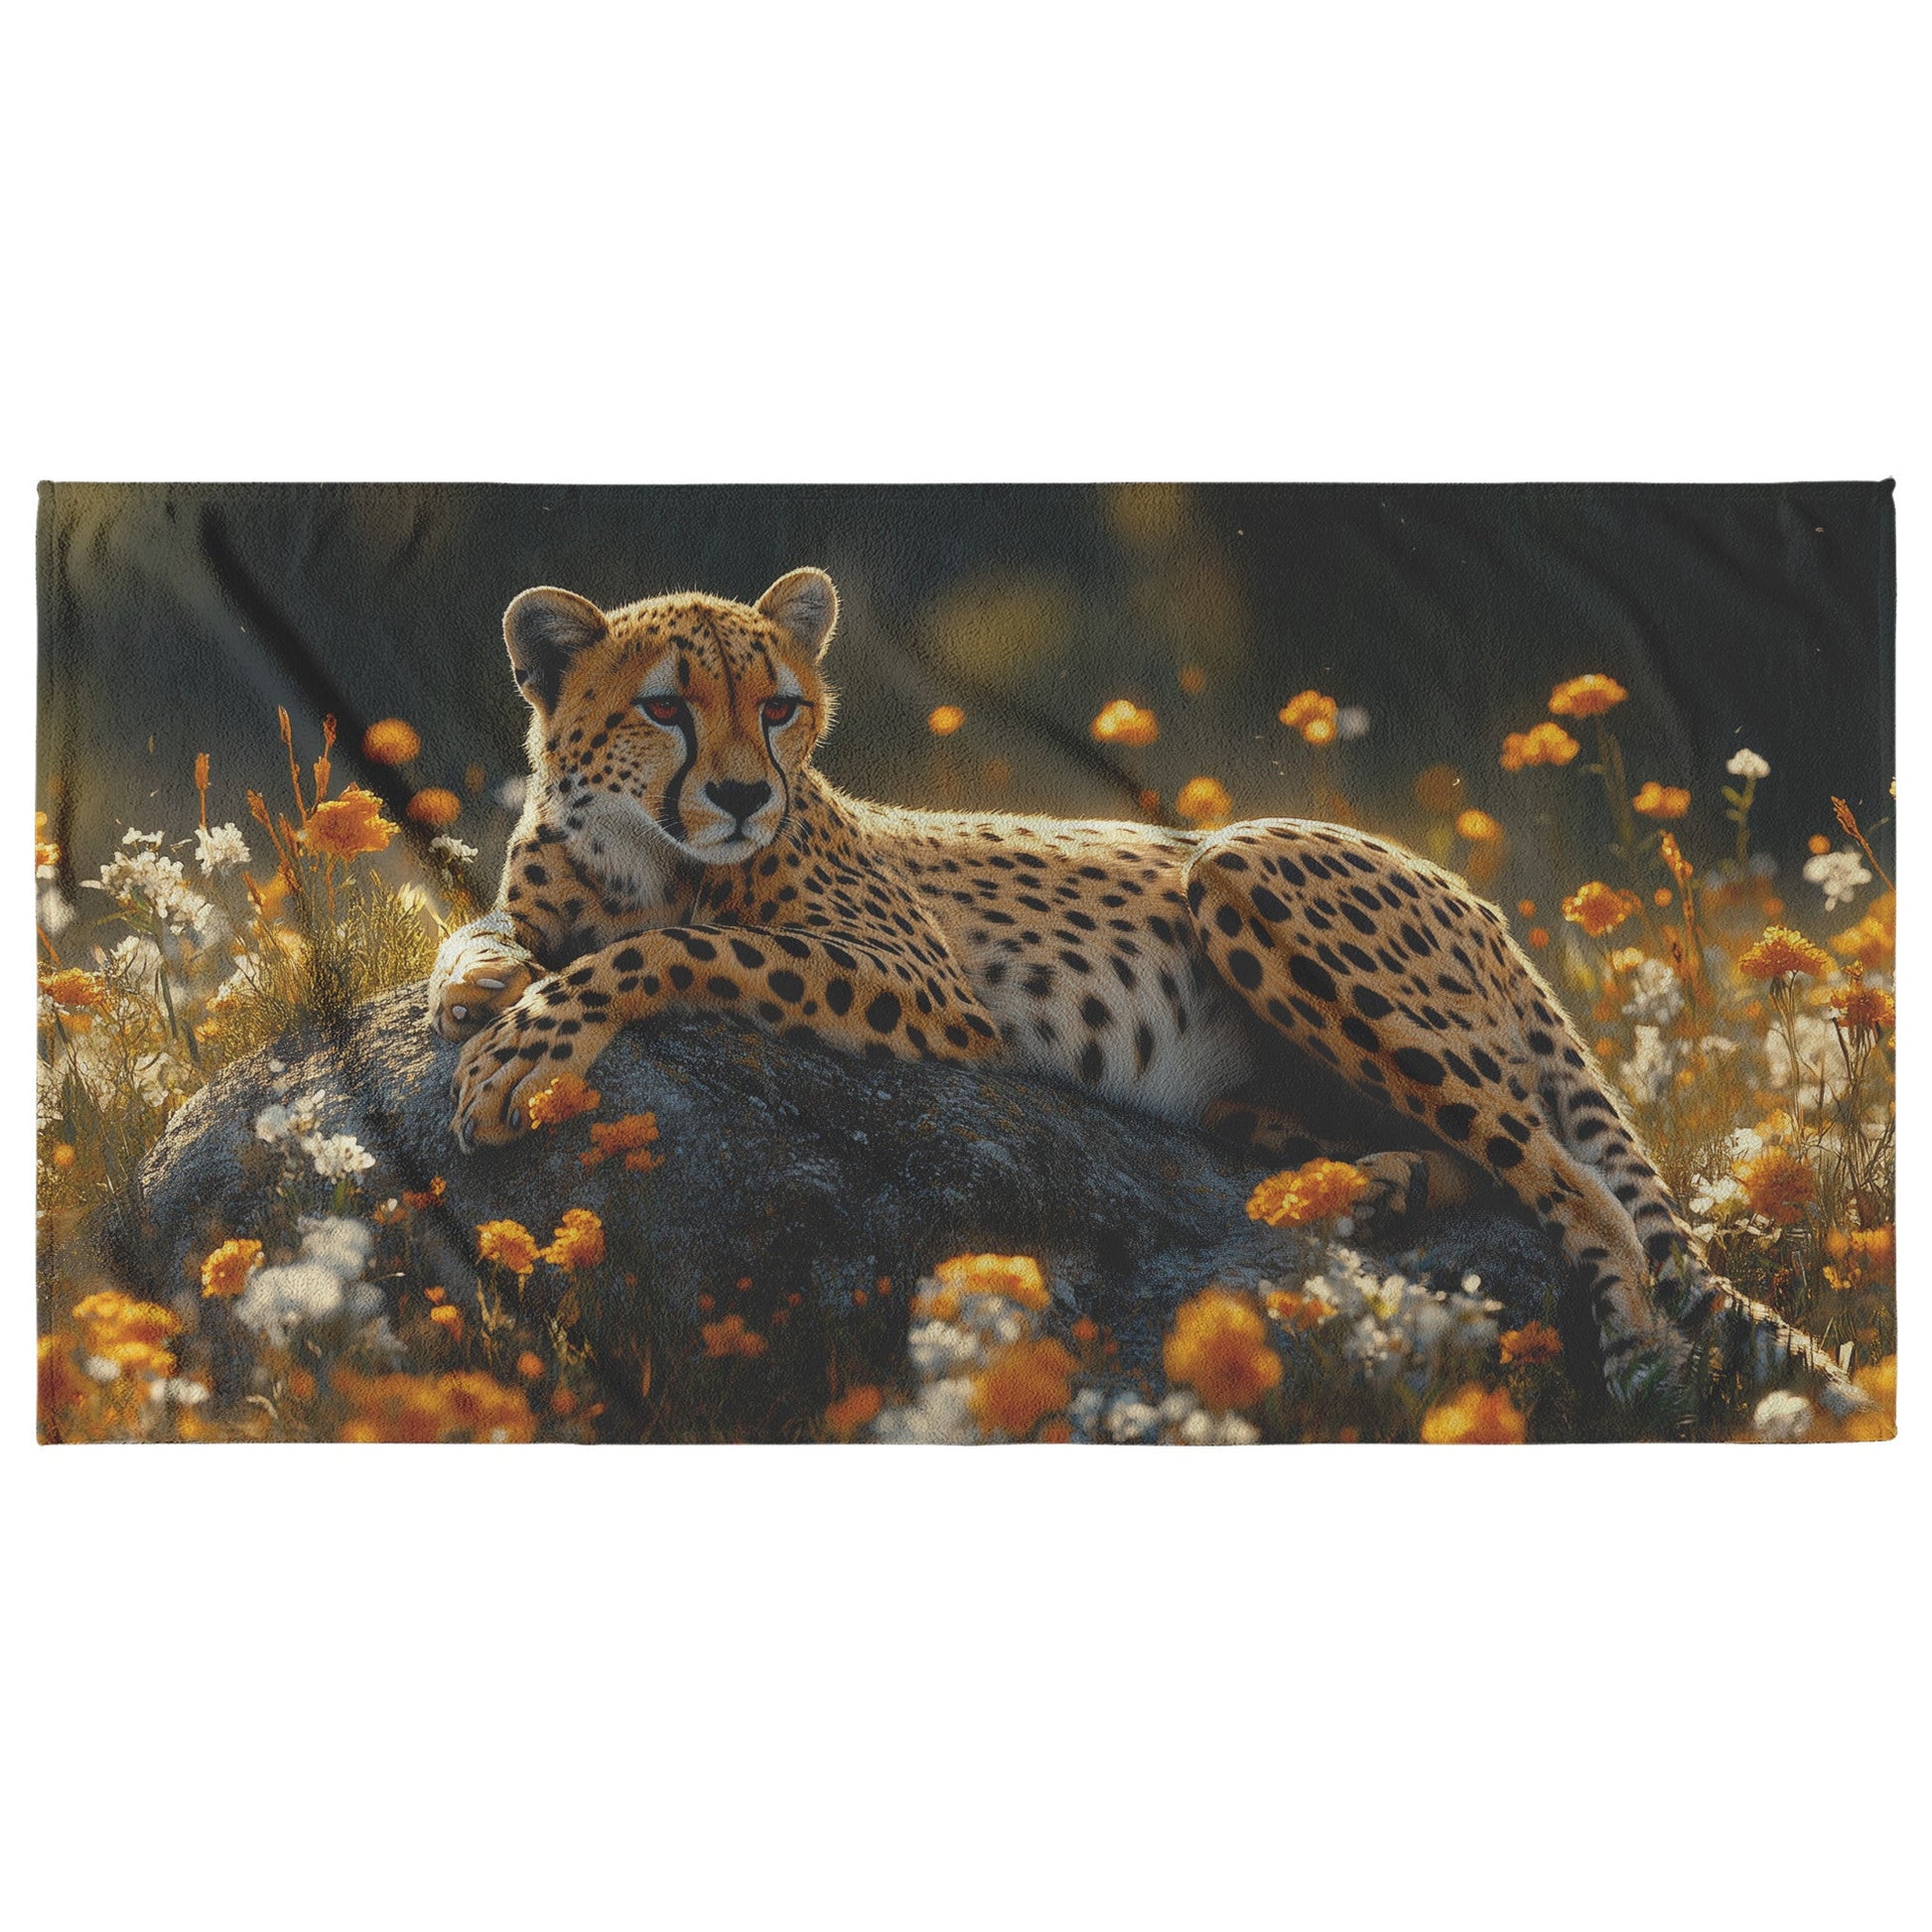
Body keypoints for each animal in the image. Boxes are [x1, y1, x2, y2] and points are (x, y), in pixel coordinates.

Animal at [428, 566, 1864, 1426]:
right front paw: (481, 977)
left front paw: (520, 1051)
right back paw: (1361, 1189)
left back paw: (1633, 1351)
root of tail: (1478, 897)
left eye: (778, 706)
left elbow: (677, 951)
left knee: (1563, 1177)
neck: (633, 852)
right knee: (1475, 1153)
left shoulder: (927, 990)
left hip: (1242, 869)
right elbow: (475, 928)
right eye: (667, 709)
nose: (738, 795)